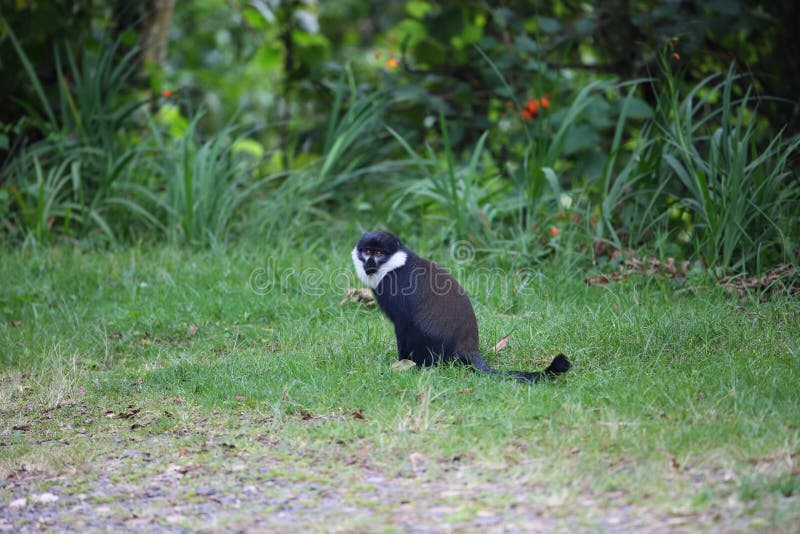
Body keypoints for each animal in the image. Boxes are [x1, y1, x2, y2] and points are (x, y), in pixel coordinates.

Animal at [351, 230, 571, 382]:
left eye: (379, 252)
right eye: (367, 251)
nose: (370, 262)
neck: (394, 265)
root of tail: (468, 347)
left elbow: (403, 325)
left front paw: (401, 363)